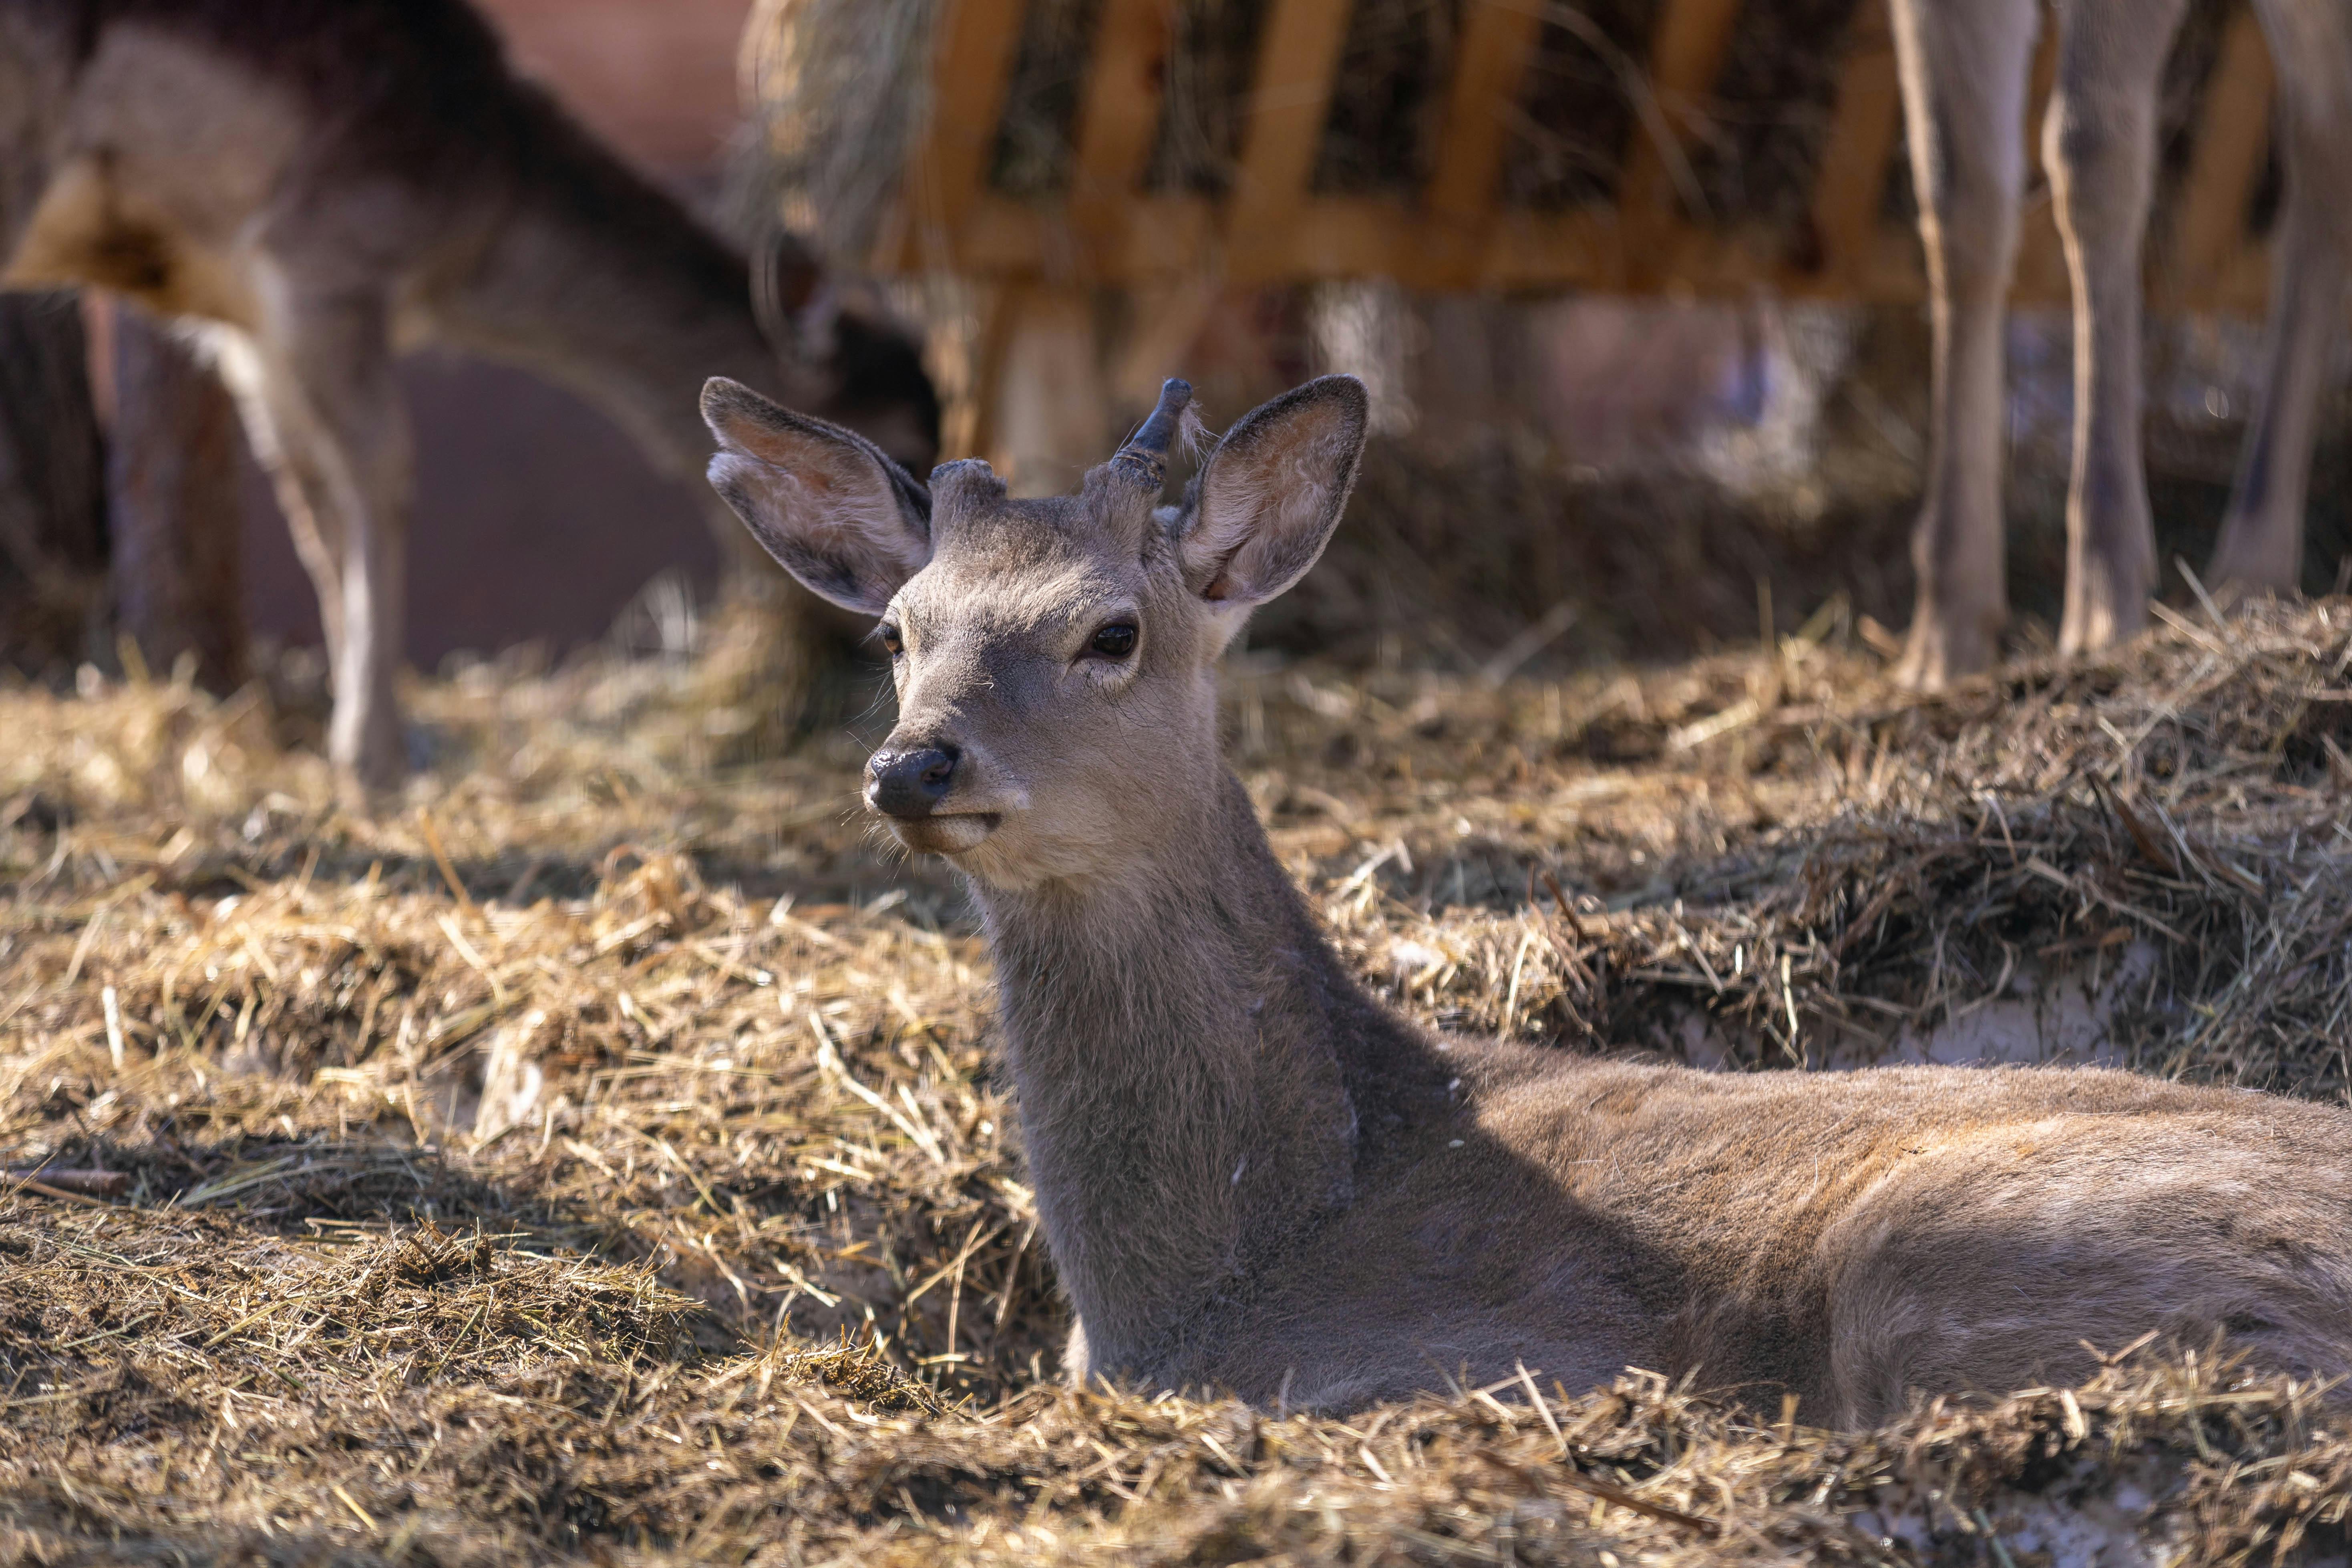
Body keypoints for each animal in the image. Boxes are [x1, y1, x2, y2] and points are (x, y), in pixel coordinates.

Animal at [0, 0, 940, 799]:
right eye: (894, 447)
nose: (864, 639)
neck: (477, 218)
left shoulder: (245, 332)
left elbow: (311, 506)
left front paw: (363, 736)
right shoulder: (323, 266)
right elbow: (382, 478)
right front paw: (379, 757)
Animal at [702, 369, 2352, 1421]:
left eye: (1110, 631)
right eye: (898, 630)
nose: (913, 763)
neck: (1218, 1267)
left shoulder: (1476, 1352)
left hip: (1937, 1253)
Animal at [1890, 0, 2352, 689]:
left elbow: (2090, 151)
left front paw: (2101, 607)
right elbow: (1955, 191)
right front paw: (1942, 638)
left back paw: (2246, 565)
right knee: (2323, 139)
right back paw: (2251, 572)